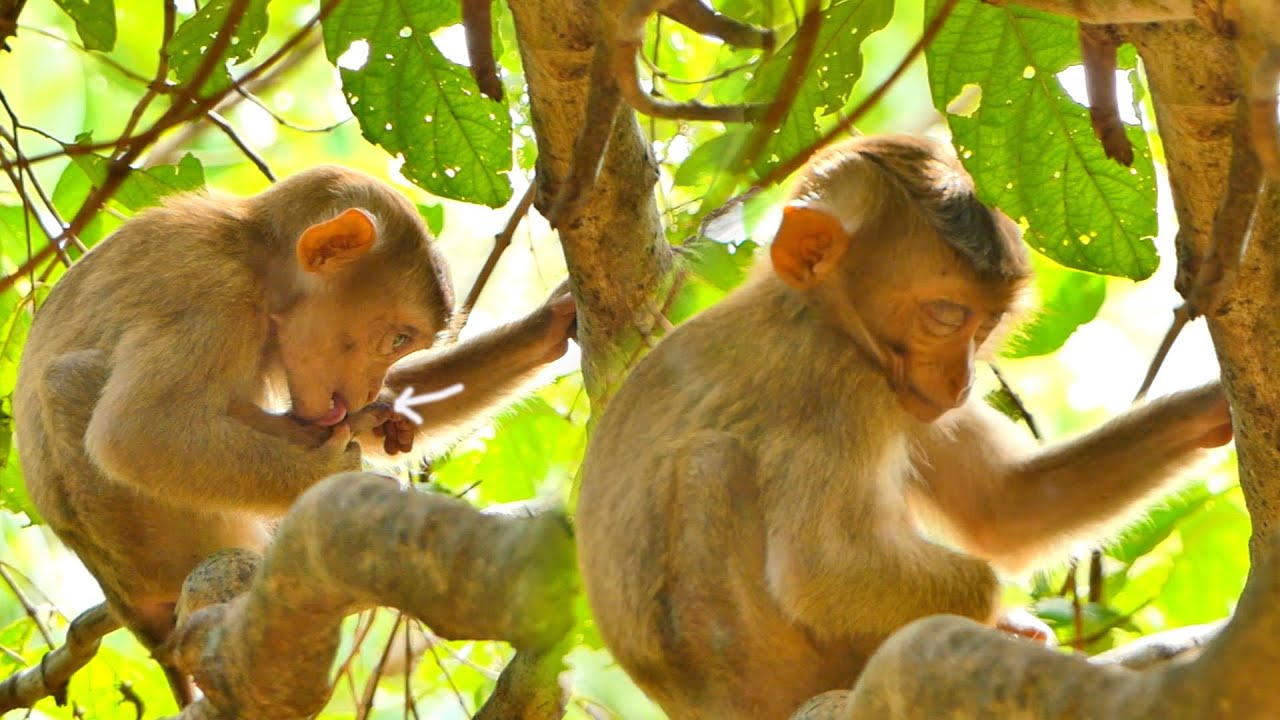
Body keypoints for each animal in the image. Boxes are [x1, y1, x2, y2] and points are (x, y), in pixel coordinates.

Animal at [13, 166, 576, 704]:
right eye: (397, 338)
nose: (366, 390)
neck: (253, 257)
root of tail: (136, 615)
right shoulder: (213, 297)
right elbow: (133, 432)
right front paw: (336, 467)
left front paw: (546, 328)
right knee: (71, 380)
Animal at [575, 135, 1233, 720]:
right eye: (945, 316)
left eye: (987, 325)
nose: (963, 381)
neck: (818, 315)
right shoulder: (836, 385)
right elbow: (823, 571)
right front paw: (1000, 615)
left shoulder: (907, 400)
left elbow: (1006, 509)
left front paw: (1214, 406)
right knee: (713, 459)